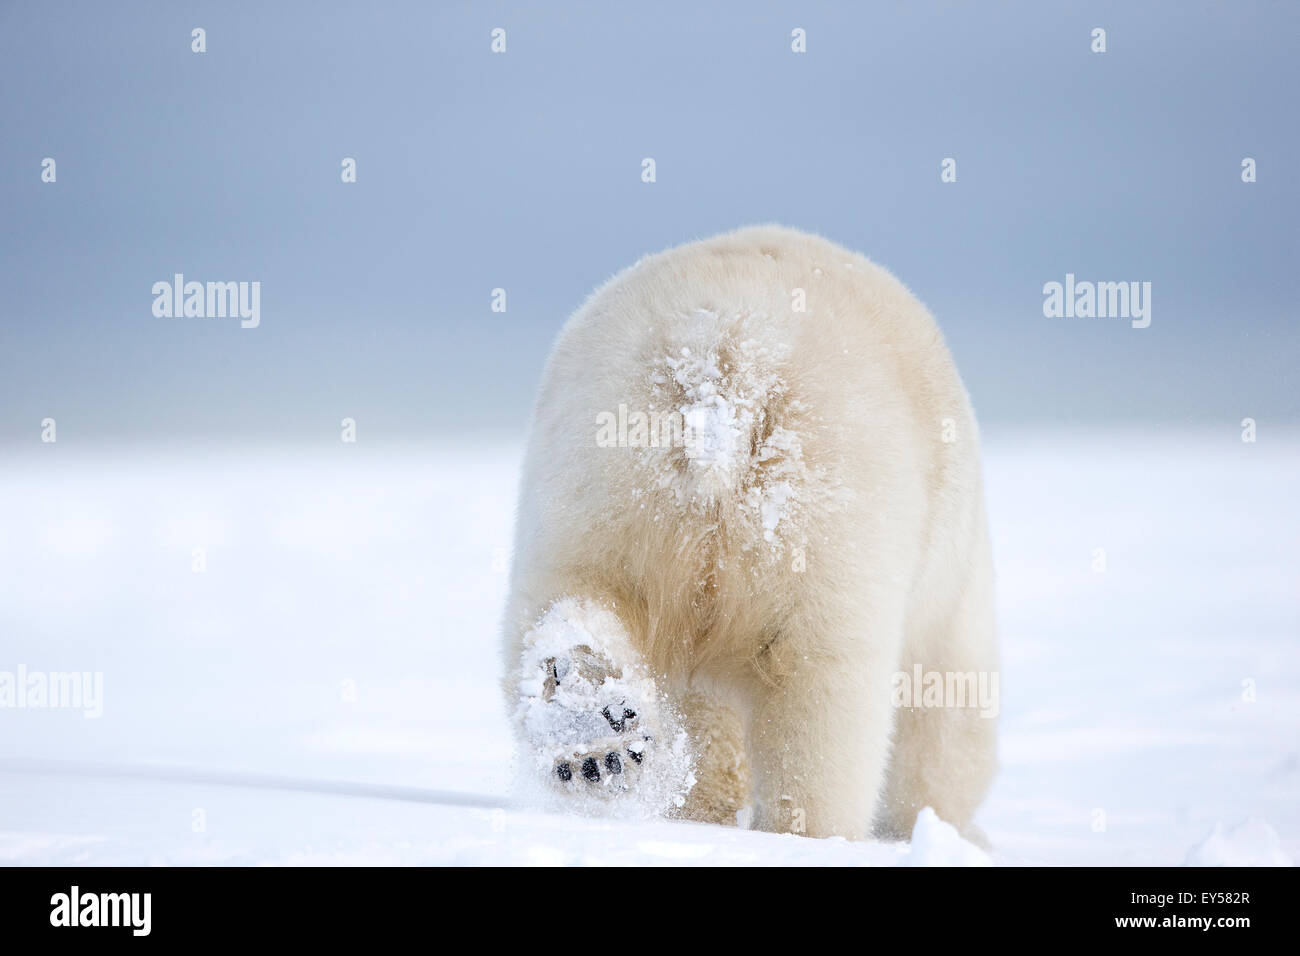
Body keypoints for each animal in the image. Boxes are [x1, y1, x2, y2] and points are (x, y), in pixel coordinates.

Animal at [502, 225, 997, 842]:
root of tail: (719, 362)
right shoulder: (948, 593)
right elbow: (945, 706)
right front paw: (935, 823)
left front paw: (701, 808)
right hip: (824, 511)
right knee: (819, 690)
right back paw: (810, 831)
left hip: (598, 477)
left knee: (570, 590)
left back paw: (591, 729)